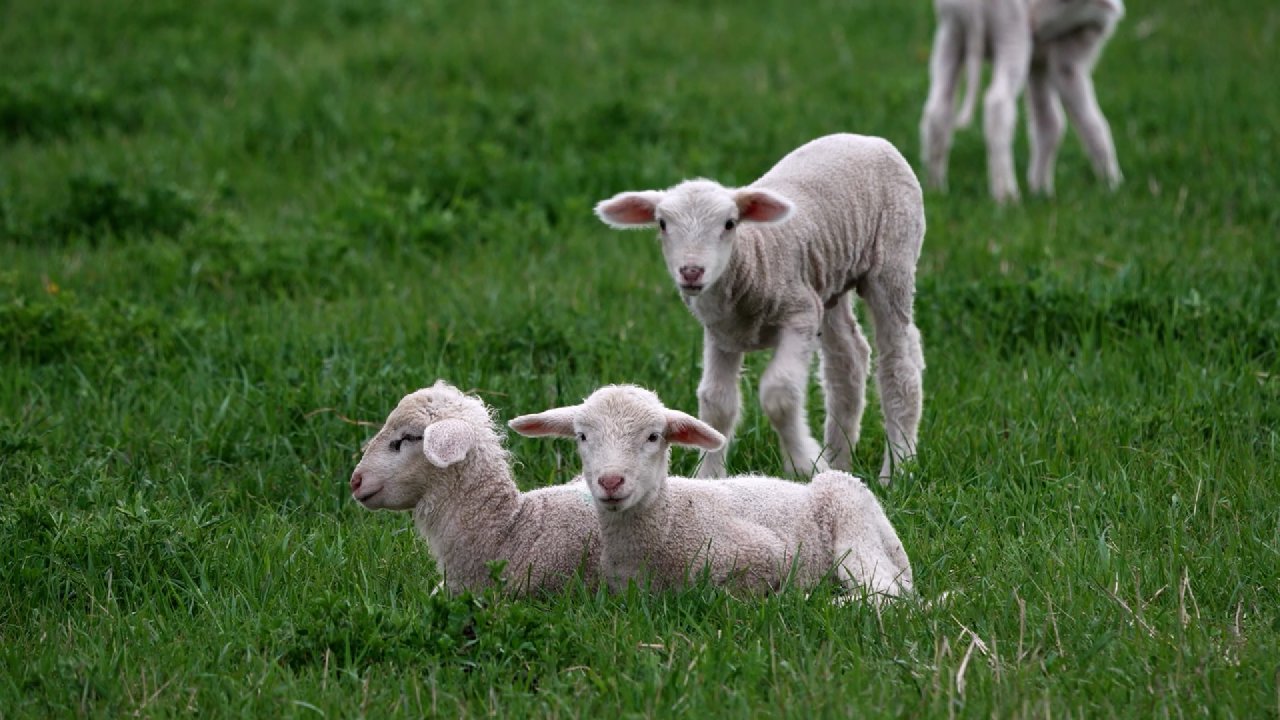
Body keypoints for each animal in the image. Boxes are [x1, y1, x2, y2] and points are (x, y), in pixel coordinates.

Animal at [509, 385, 914, 599]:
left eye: (653, 437)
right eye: (581, 436)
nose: (611, 482)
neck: (669, 522)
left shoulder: (765, 555)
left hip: (852, 522)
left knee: (890, 597)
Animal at [595, 133, 926, 485]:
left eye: (729, 224)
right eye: (661, 224)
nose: (692, 272)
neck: (753, 255)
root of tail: (867, 138)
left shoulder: (800, 314)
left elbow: (779, 394)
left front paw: (805, 464)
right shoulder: (722, 333)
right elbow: (716, 403)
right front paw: (708, 477)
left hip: (893, 257)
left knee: (898, 366)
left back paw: (897, 470)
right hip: (829, 279)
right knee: (847, 360)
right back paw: (840, 461)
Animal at [920, 0, 1125, 202]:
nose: (1033, 23)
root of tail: (973, 8)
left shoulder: (1038, 63)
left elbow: (1049, 123)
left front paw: (1040, 190)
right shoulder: (1066, 57)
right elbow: (1091, 121)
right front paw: (1111, 184)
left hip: (951, 34)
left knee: (938, 108)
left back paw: (935, 187)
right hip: (1011, 32)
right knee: (998, 103)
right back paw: (1006, 195)